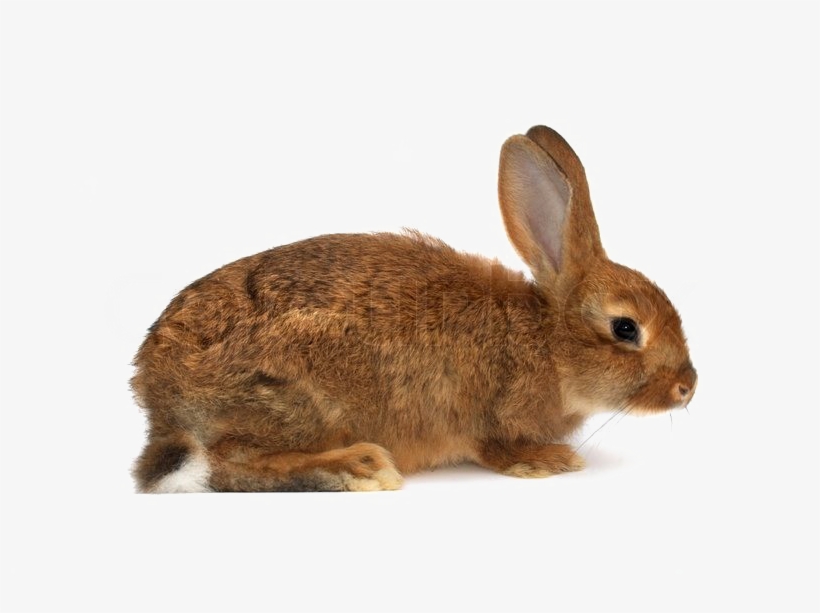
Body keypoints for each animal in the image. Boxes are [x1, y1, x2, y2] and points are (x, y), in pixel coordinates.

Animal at [131, 125, 697, 493]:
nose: (687, 387)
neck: (548, 341)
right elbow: (497, 448)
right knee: (230, 464)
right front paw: (548, 462)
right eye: (625, 328)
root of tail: (154, 387)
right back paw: (359, 468)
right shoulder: (492, 416)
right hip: (293, 403)